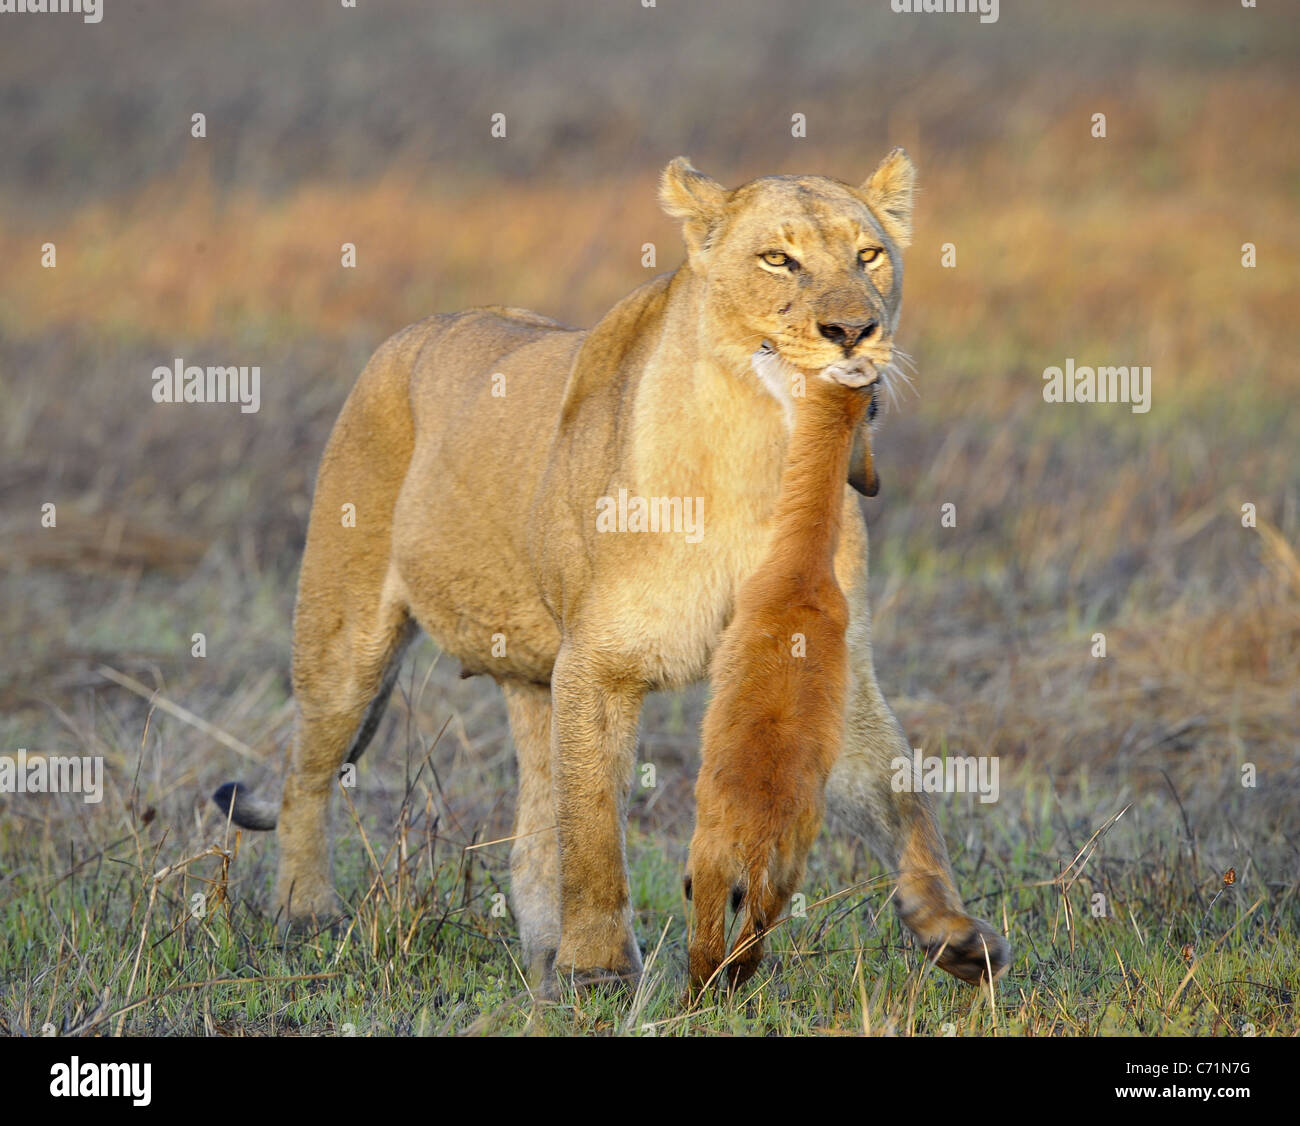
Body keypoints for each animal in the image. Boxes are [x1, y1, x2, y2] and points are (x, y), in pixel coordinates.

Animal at [213, 148, 1010, 992]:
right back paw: (307, 912)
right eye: (777, 259)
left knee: (535, 819)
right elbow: (597, 828)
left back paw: (539, 949)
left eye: (869, 256)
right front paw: (598, 969)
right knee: (307, 772)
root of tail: (413, 330)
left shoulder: (825, 659)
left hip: (531, 675)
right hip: (345, 638)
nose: (854, 330)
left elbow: (900, 794)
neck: (765, 450)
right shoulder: (599, 663)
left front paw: (953, 932)